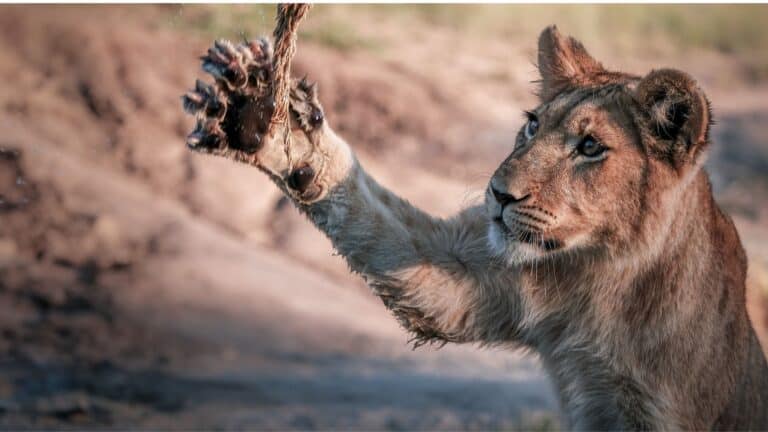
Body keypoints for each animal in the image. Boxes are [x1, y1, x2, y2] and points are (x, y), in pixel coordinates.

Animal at [182, 26, 768, 429]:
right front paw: (268, 122)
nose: (500, 194)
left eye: (590, 147)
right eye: (531, 126)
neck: (607, 274)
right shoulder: (476, 276)